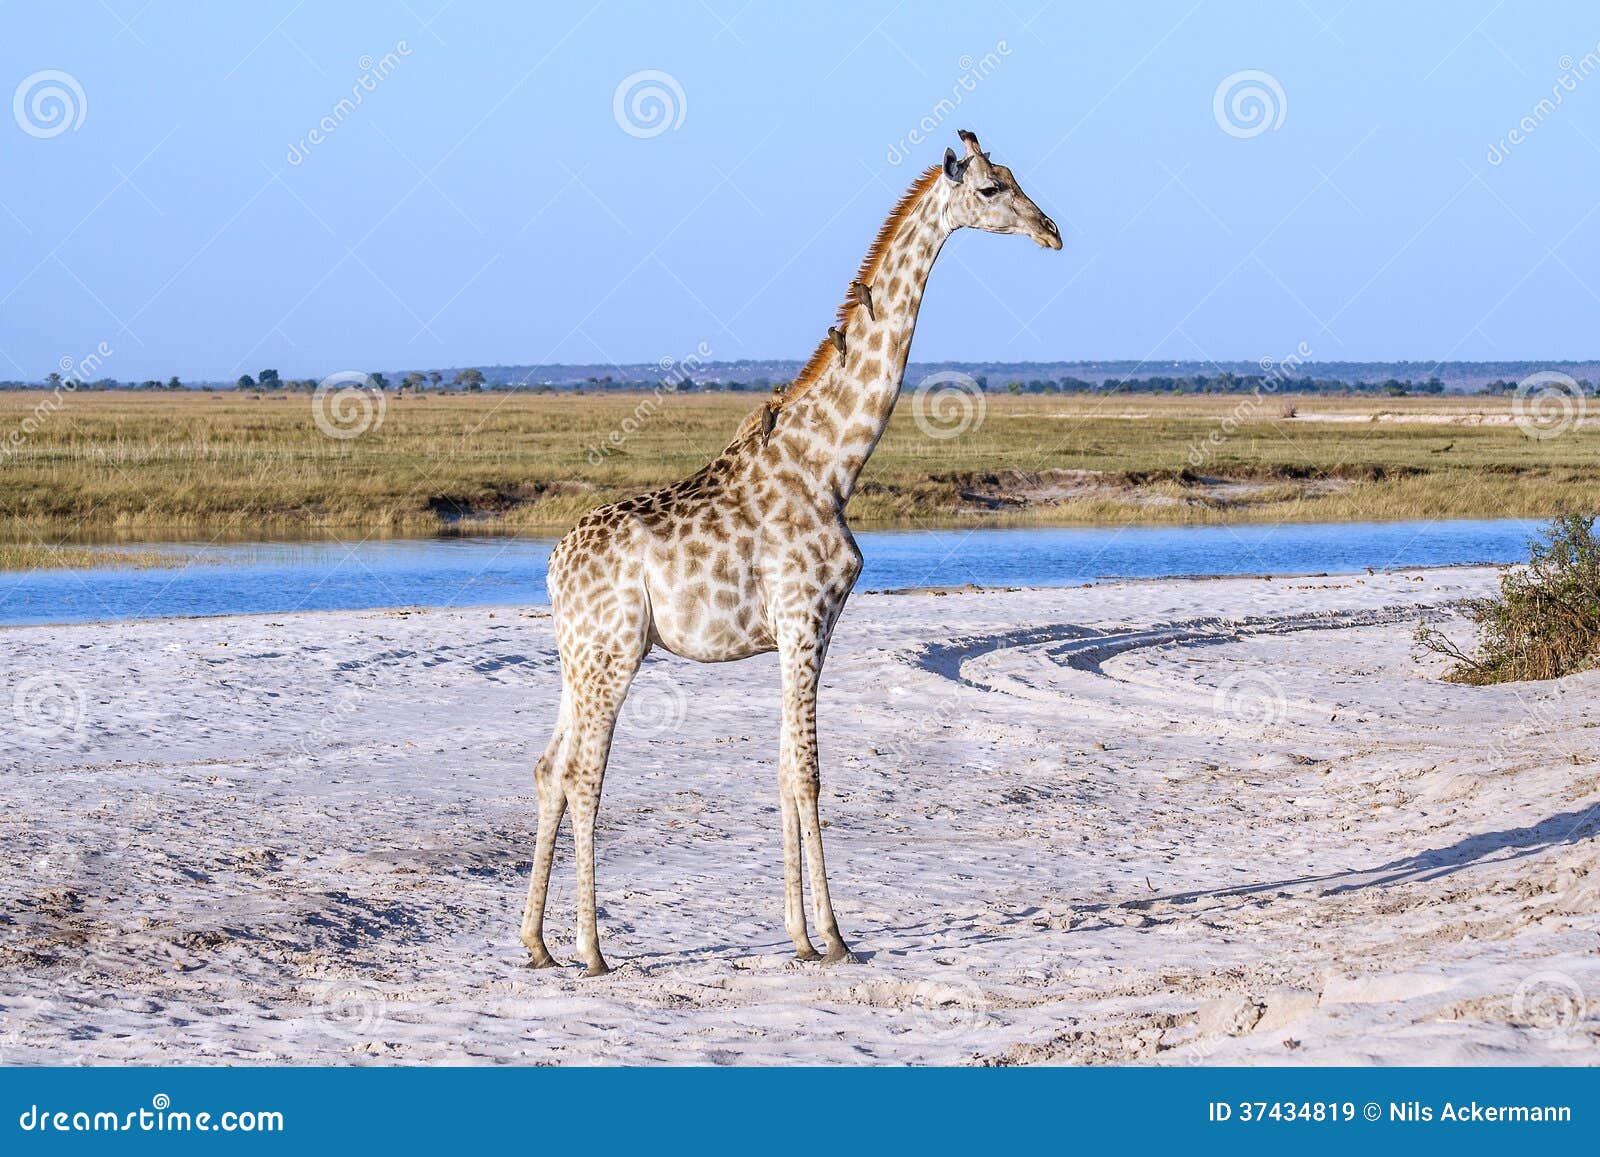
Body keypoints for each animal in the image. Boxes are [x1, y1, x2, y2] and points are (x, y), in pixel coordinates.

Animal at [521, 130, 1062, 975]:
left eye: (1012, 179)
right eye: (993, 188)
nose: (1052, 231)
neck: (833, 462)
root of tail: (551, 566)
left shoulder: (809, 629)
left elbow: (782, 768)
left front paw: (798, 934)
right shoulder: (803, 617)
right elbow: (808, 771)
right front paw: (835, 936)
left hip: (577, 658)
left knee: (550, 766)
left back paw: (536, 941)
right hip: (614, 654)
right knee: (584, 773)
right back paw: (592, 947)